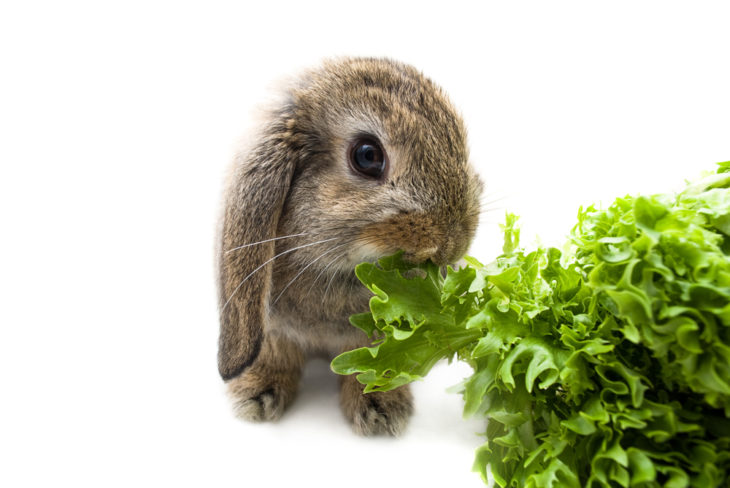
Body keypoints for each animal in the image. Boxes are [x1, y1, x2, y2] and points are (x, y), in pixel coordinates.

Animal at [217, 57, 483, 436]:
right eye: (367, 155)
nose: (452, 245)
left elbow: (370, 369)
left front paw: (381, 411)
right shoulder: (272, 329)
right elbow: (274, 356)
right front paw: (256, 397)